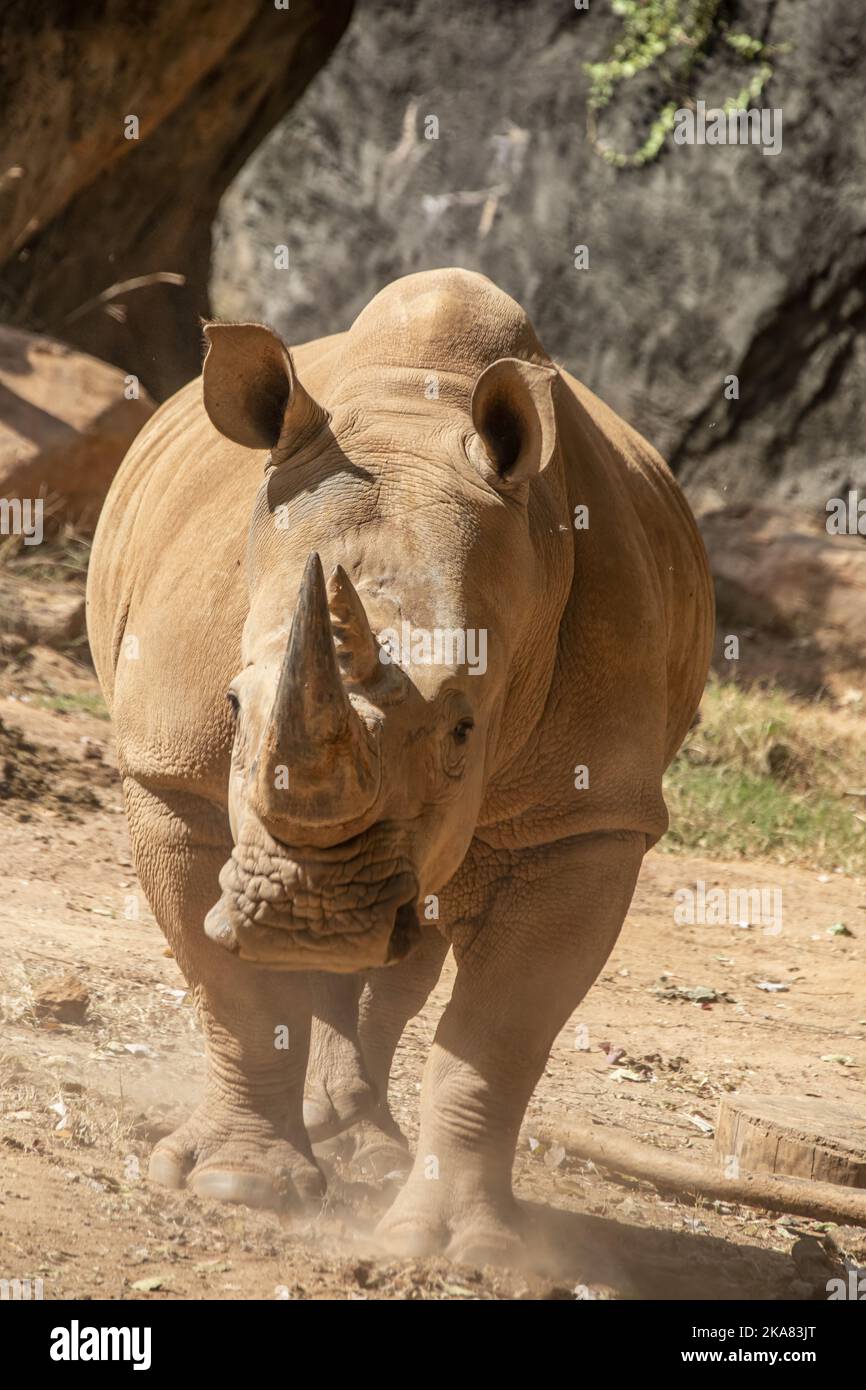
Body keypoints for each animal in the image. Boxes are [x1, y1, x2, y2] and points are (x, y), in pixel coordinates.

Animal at [87, 268, 713, 1263]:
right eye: (233, 705)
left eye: (464, 729)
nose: (305, 916)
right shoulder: (172, 771)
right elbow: (231, 988)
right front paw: (237, 1184)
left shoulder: (590, 819)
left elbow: (499, 1032)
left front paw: (457, 1246)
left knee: (420, 936)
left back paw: (367, 1149)